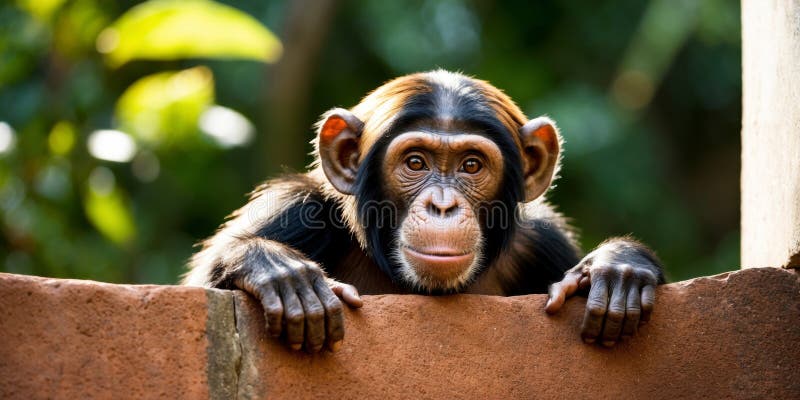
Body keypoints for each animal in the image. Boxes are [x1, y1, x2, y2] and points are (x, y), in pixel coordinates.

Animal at [183, 69, 665, 353]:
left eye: (471, 165)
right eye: (415, 163)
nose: (443, 204)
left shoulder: (545, 244)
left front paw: (618, 267)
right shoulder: (295, 214)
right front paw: (277, 271)